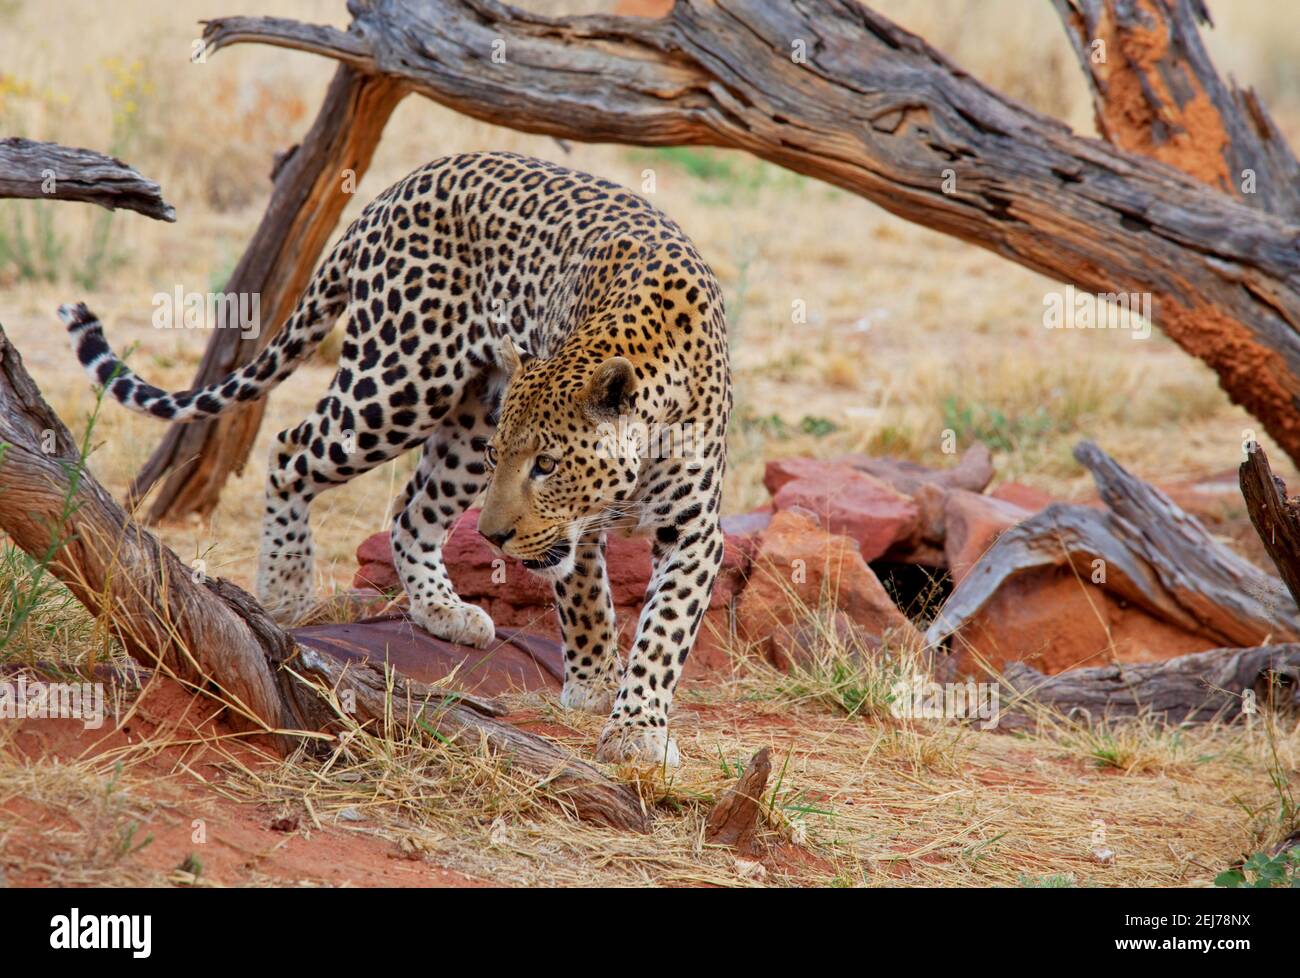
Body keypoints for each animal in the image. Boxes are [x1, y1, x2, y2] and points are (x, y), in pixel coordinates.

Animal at [60, 150, 730, 766]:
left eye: (545, 465)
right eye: (508, 457)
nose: (495, 537)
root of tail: (394, 189)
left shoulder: (691, 530)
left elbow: (665, 630)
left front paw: (636, 726)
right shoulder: (576, 526)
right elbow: (586, 596)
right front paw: (596, 688)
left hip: (462, 418)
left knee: (412, 513)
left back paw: (441, 610)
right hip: (400, 384)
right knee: (291, 449)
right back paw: (285, 591)